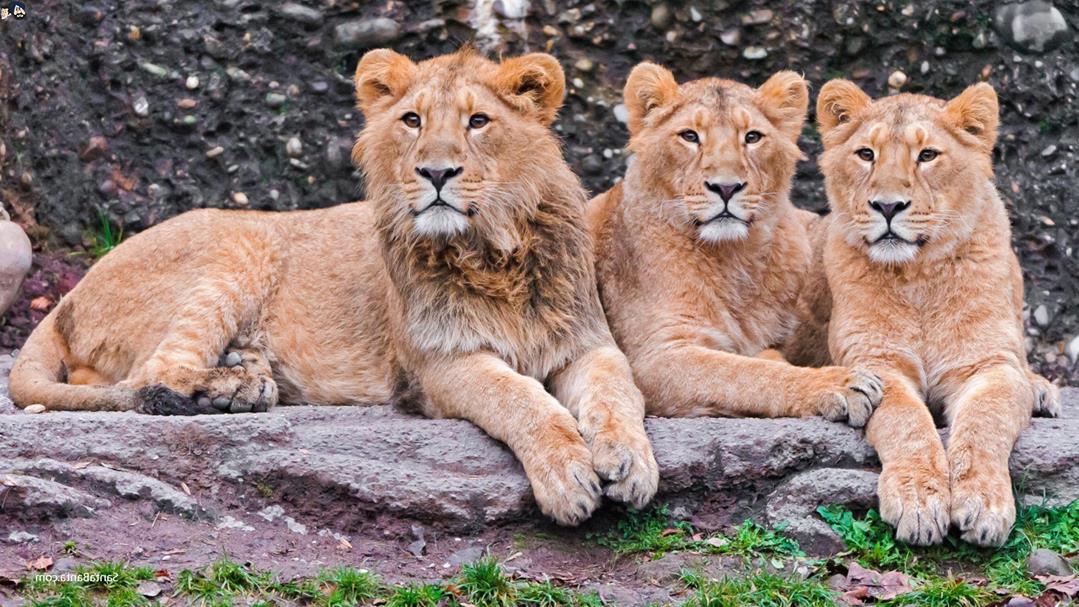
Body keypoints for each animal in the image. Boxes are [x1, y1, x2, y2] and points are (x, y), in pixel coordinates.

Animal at [9, 48, 659, 526]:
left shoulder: (588, 343)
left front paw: (630, 463)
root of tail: (70, 294)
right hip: (242, 241)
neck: (492, 252)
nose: (436, 172)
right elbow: (522, 401)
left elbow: (619, 393)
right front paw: (569, 477)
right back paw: (229, 391)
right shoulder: (440, 364)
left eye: (479, 122)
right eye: (412, 121)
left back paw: (246, 377)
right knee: (148, 375)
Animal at [587, 63, 883, 424]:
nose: (726, 188)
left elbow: (756, 363)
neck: (733, 257)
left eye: (752, 137)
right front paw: (840, 384)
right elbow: (744, 373)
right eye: (690, 136)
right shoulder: (653, 358)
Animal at [815, 79, 1061, 547]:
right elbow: (905, 421)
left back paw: (1041, 390)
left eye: (927, 155)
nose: (887, 206)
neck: (918, 277)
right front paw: (918, 500)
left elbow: (985, 421)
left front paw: (983, 504)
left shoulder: (988, 364)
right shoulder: (877, 362)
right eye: (866, 154)